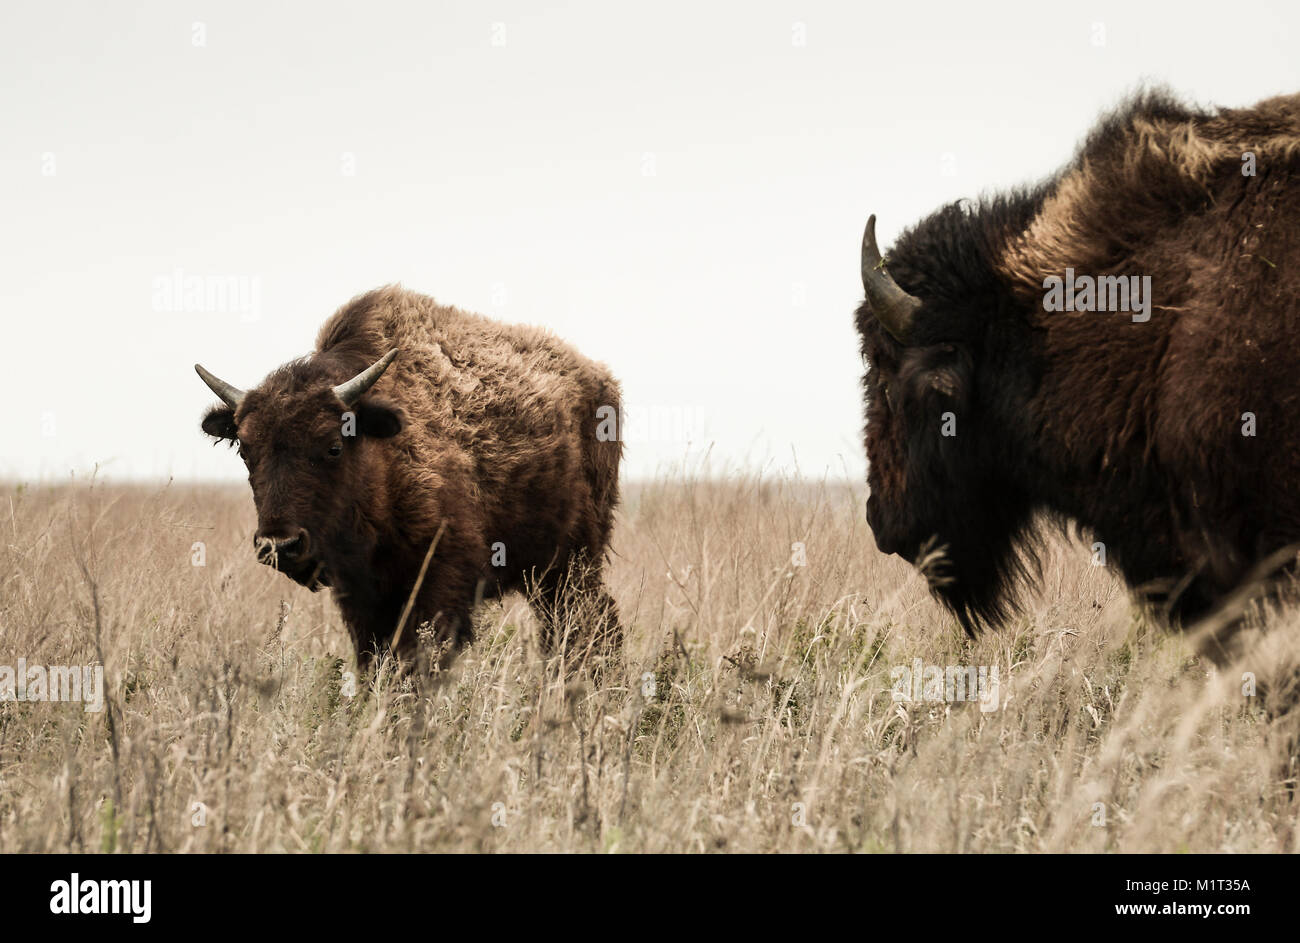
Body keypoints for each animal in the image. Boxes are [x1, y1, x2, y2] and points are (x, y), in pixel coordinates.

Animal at [196, 285, 624, 673]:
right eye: (245, 451)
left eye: (333, 446)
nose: (280, 546)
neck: (378, 455)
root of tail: (602, 380)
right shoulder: (362, 599)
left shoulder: (437, 585)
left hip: (573, 563)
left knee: (590, 625)